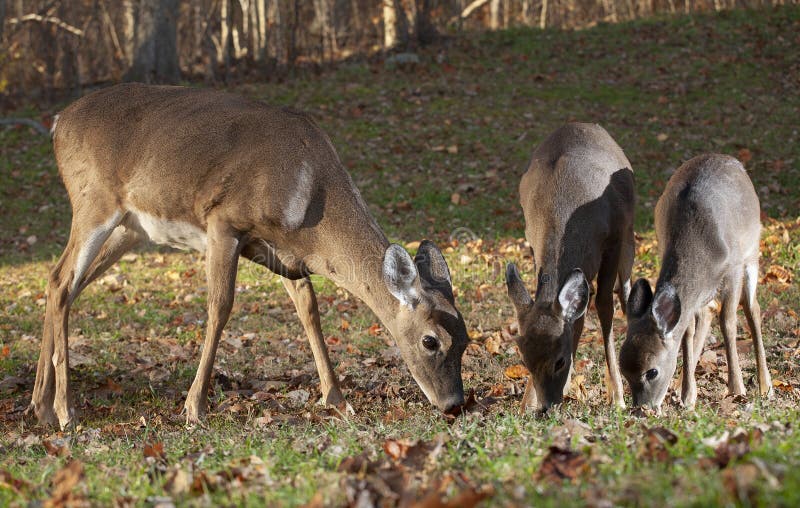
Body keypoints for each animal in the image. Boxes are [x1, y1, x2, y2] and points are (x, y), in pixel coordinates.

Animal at [29, 83, 468, 430]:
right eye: (431, 341)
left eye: (467, 340)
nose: (454, 405)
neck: (311, 207)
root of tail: (58, 123)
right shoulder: (223, 222)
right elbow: (220, 307)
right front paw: (194, 408)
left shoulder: (284, 256)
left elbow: (309, 309)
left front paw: (338, 401)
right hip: (94, 202)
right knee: (62, 280)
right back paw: (65, 412)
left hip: (129, 228)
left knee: (60, 283)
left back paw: (41, 407)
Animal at [505, 123, 635, 413]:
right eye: (525, 362)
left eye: (560, 361)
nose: (545, 407)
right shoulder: (531, 242)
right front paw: (526, 403)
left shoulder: (614, 237)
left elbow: (605, 305)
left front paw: (618, 397)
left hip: (630, 237)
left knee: (625, 291)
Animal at [619, 154, 773, 411]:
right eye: (623, 371)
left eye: (652, 372)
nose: (641, 409)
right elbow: (687, 330)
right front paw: (688, 395)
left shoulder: (733, 267)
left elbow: (728, 322)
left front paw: (737, 388)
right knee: (706, 311)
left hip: (752, 251)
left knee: (752, 308)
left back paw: (766, 385)